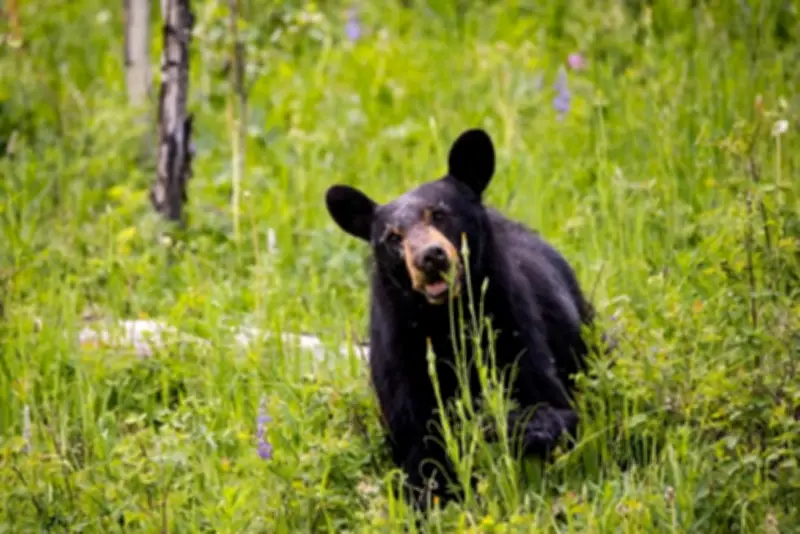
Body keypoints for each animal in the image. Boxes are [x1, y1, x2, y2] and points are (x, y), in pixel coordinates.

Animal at [324, 128, 601, 511]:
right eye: (392, 237)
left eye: (440, 214)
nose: (430, 257)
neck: (445, 321)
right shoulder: (401, 355)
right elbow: (421, 449)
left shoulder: (511, 325)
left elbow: (551, 405)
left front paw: (510, 426)